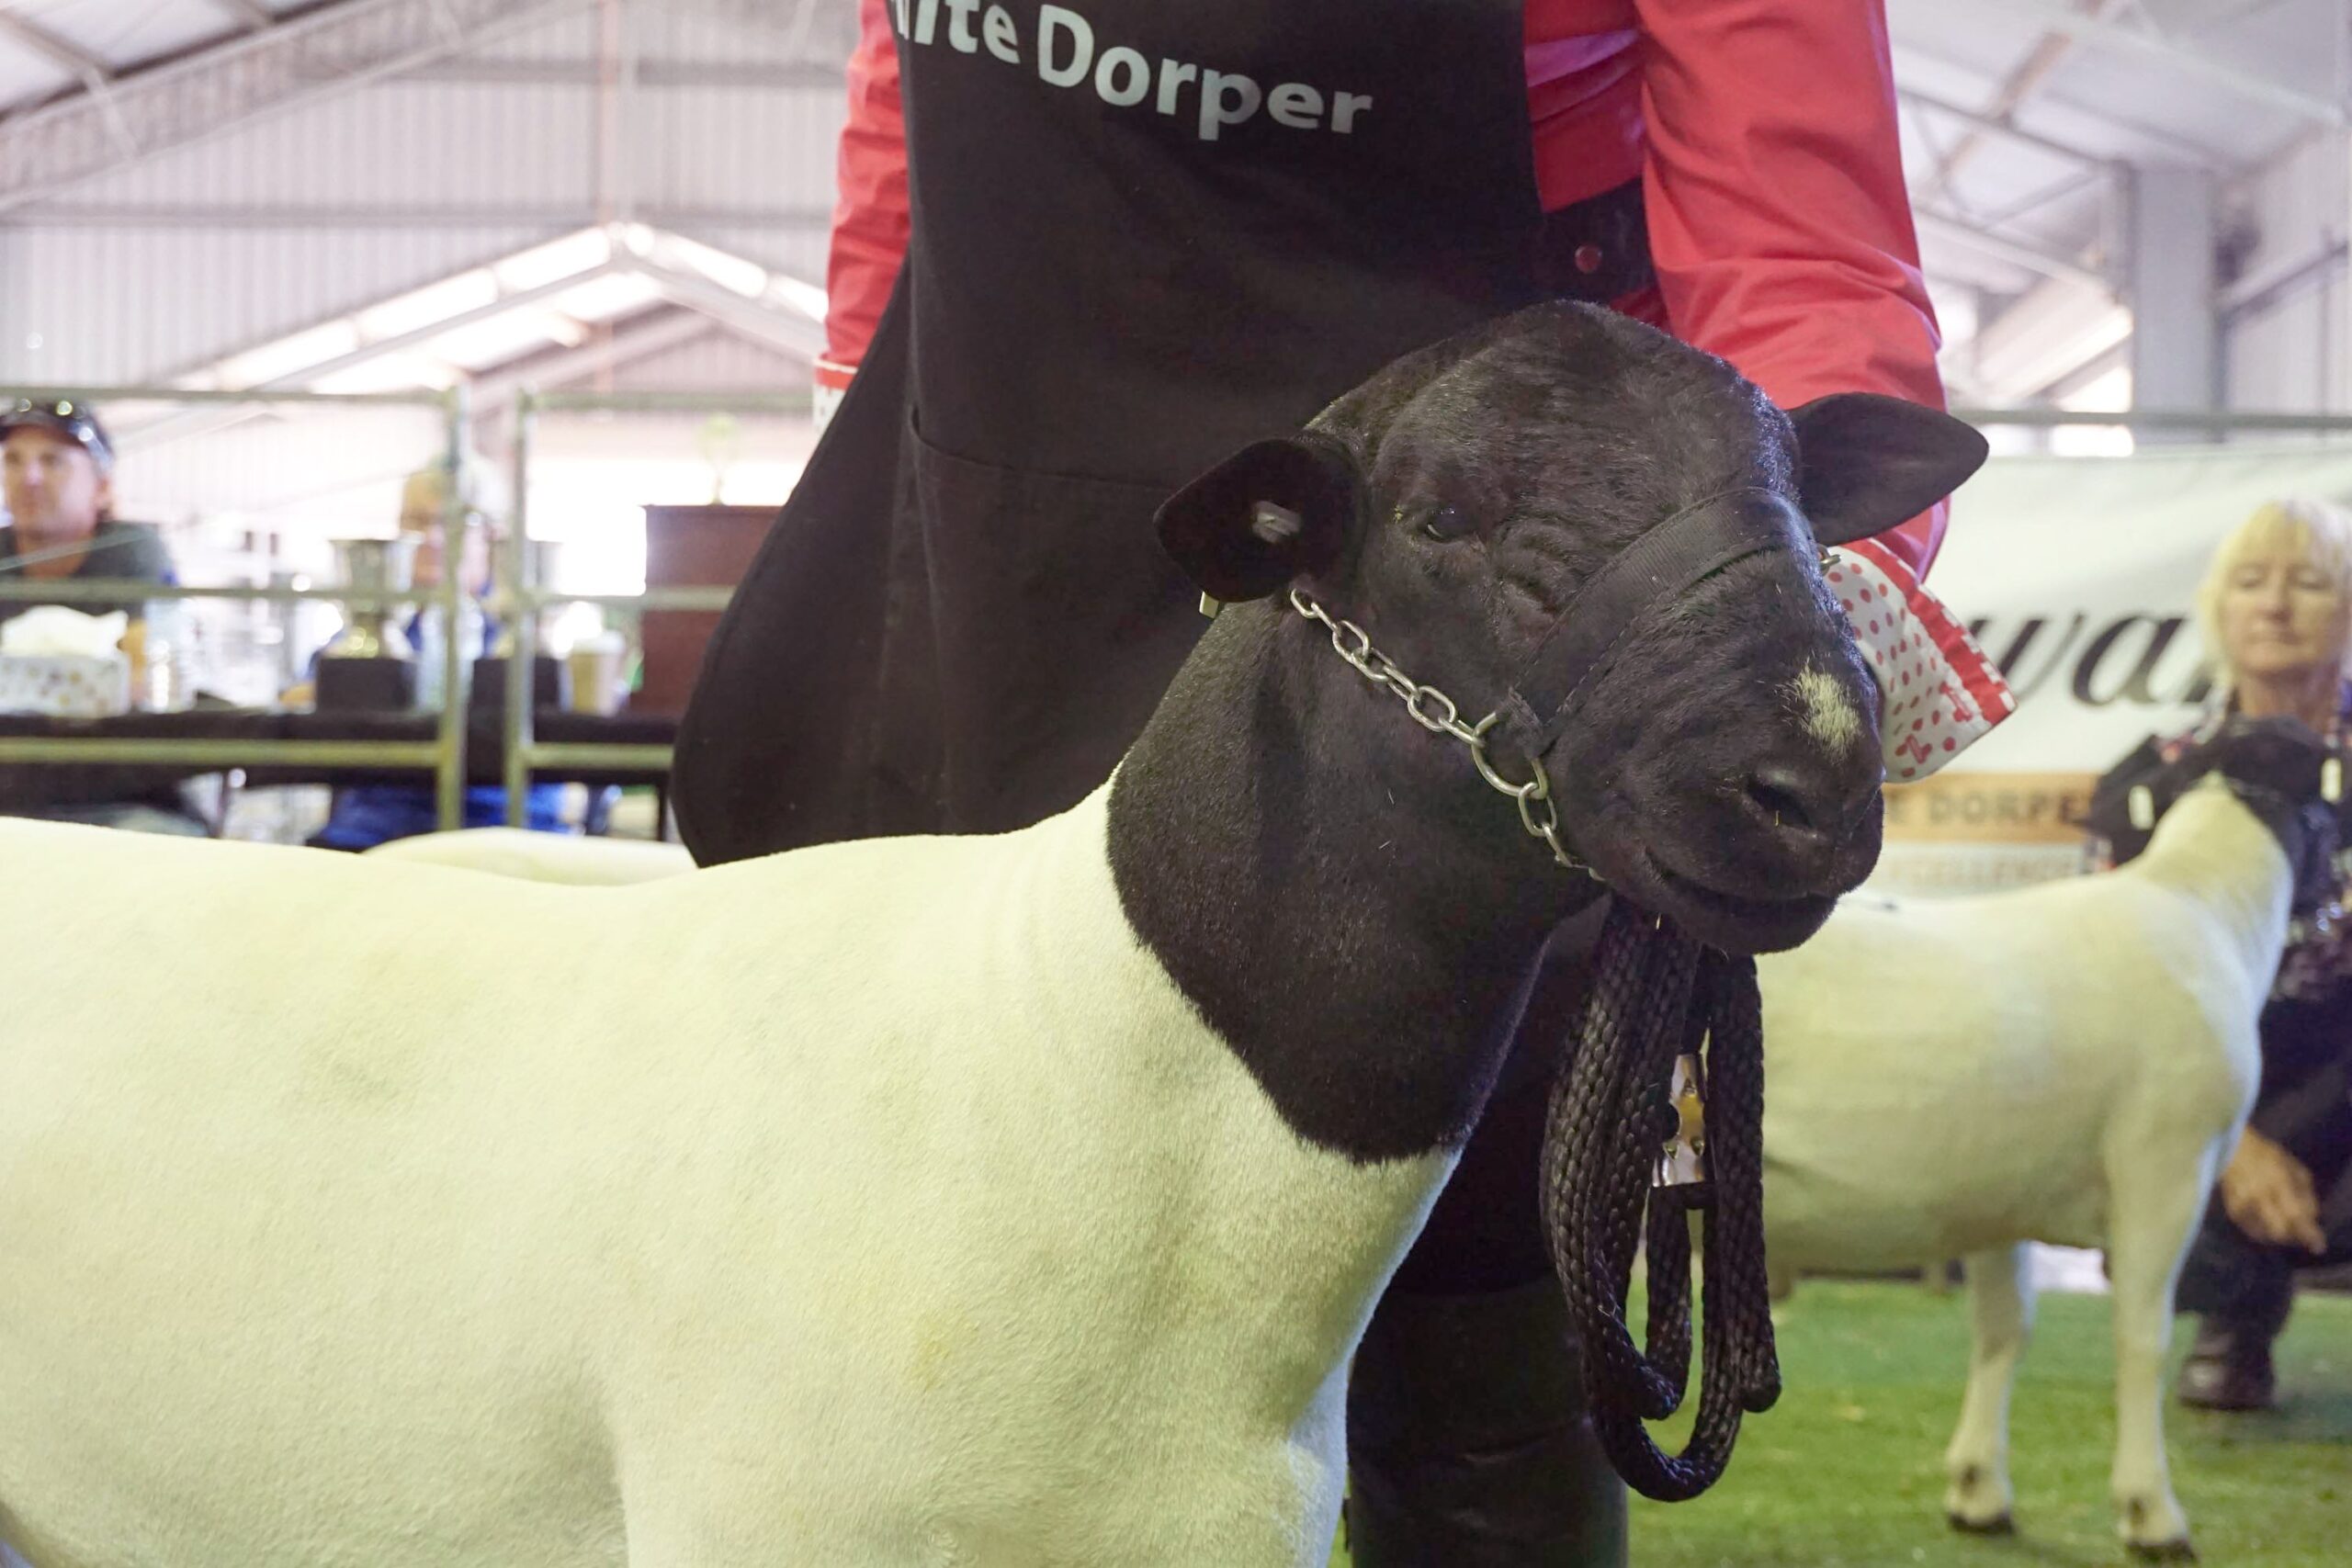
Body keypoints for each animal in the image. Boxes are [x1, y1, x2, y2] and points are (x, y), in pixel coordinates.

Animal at [1755, 718, 2336, 1561]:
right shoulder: (2166, 1165)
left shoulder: (1999, 1194)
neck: (2205, 901)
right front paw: (2151, 1513)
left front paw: (1978, 1493)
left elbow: (2006, 1331)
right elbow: (2141, 1337)